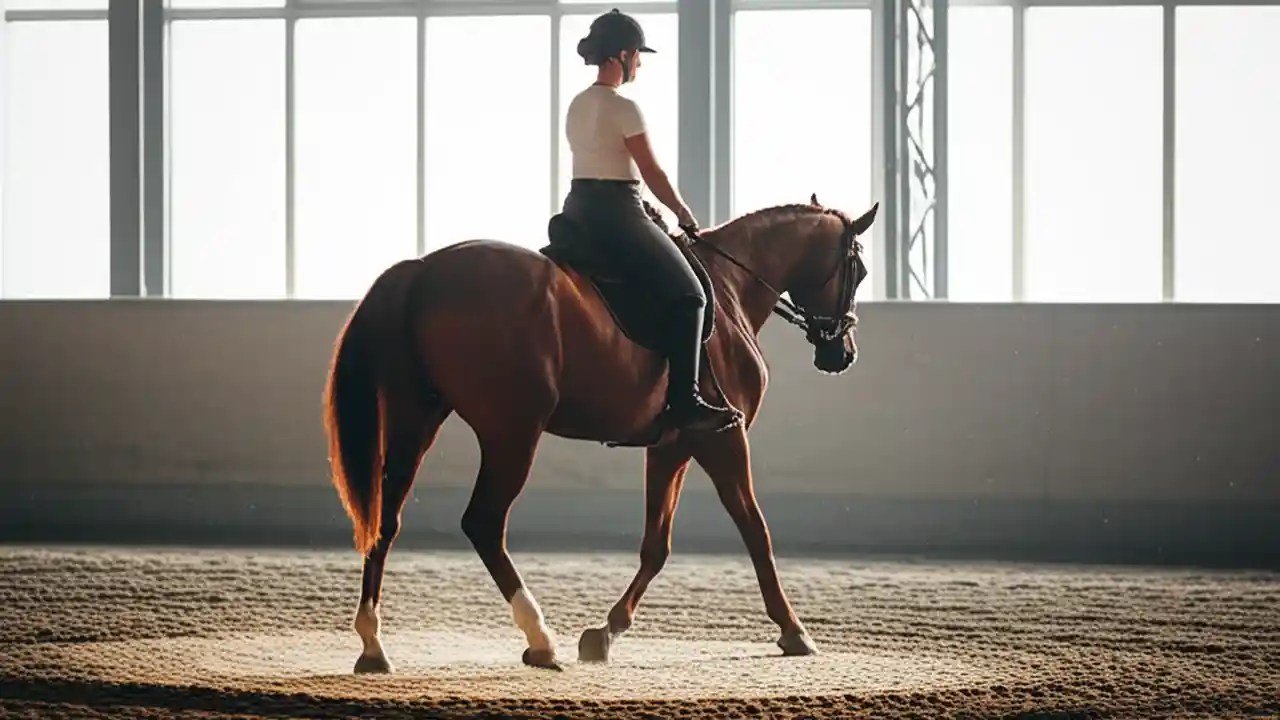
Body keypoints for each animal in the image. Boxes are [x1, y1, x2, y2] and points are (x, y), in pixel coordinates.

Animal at [322, 192, 876, 672]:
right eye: (860, 270)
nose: (842, 353)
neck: (731, 288)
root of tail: (423, 270)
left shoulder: (673, 445)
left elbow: (656, 545)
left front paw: (605, 633)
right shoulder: (722, 438)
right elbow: (755, 531)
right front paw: (794, 630)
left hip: (419, 419)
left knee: (386, 518)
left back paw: (373, 645)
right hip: (512, 431)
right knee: (483, 522)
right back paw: (539, 639)